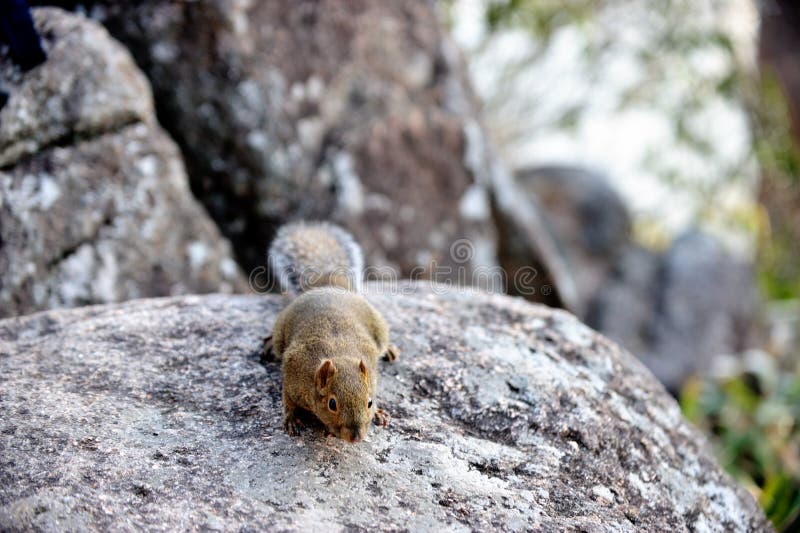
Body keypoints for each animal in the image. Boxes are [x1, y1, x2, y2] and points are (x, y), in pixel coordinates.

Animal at [264, 221, 397, 443]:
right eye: (332, 404)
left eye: (369, 402)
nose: (356, 437)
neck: (339, 356)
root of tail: (328, 285)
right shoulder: (292, 376)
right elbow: (288, 401)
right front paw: (291, 419)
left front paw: (379, 412)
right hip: (281, 332)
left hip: (378, 326)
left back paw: (390, 349)